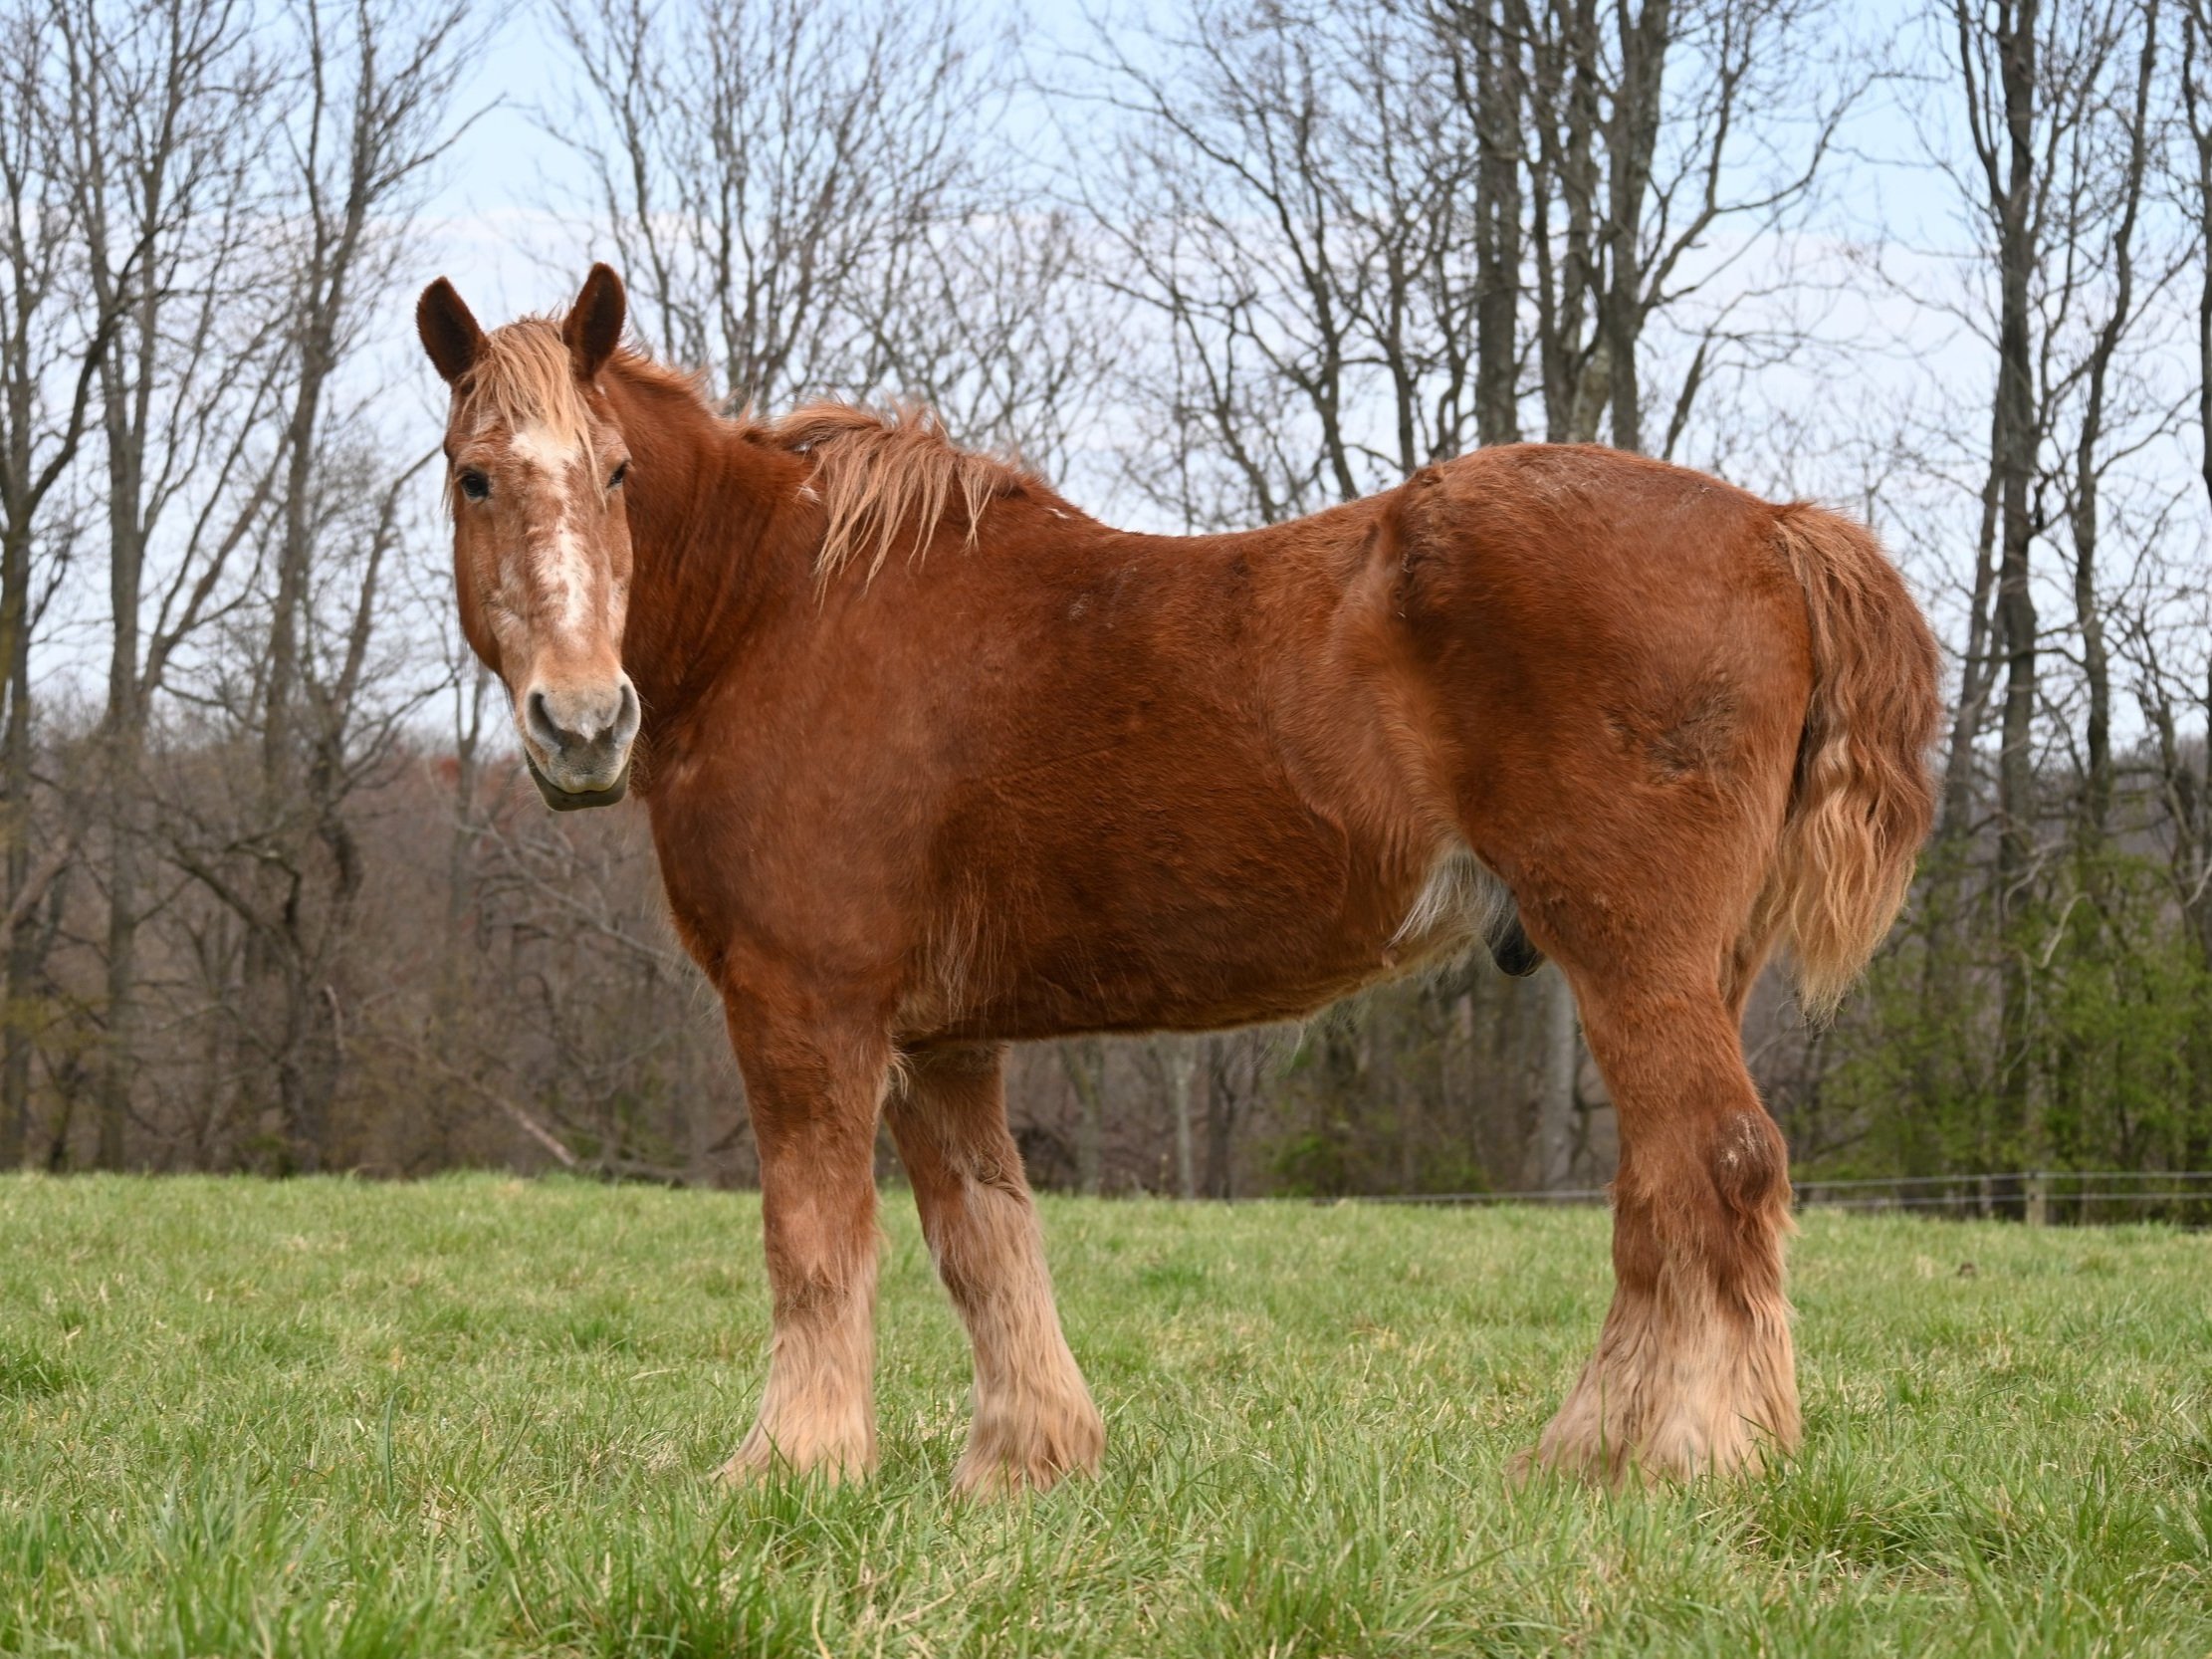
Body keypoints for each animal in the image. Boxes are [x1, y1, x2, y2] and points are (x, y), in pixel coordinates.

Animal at [415, 263, 1940, 1495]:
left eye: (615, 473)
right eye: (473, 475)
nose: (579, 722)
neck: (780, 612)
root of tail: (1768, 527)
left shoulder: (809, 1008)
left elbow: (815, 1235)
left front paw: (790, 1466)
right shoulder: (940, 1039)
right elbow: (984, 1237)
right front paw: (1021, 1459)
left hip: (1631, 953)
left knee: (1718, 1167)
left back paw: (1695, 1458)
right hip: (1678, 969)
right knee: (1661, 1198)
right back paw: (1591, 1452)